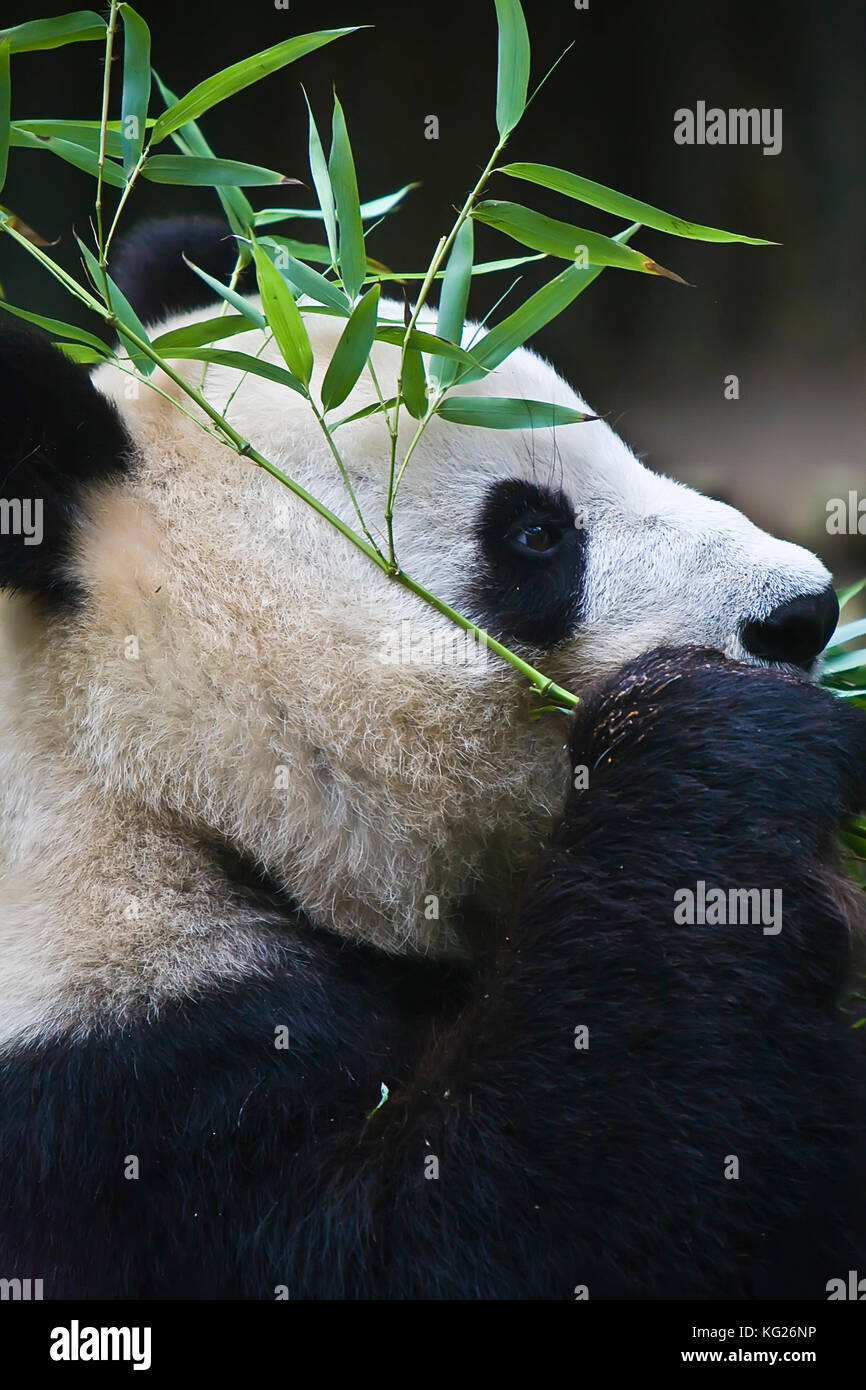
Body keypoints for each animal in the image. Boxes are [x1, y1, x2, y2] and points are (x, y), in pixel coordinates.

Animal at [0, 216, 863, 1300]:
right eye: (533, 533)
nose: (805, 613)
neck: (137, 779)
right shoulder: (106, 1092)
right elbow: (447, 1233)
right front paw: (718, 741)